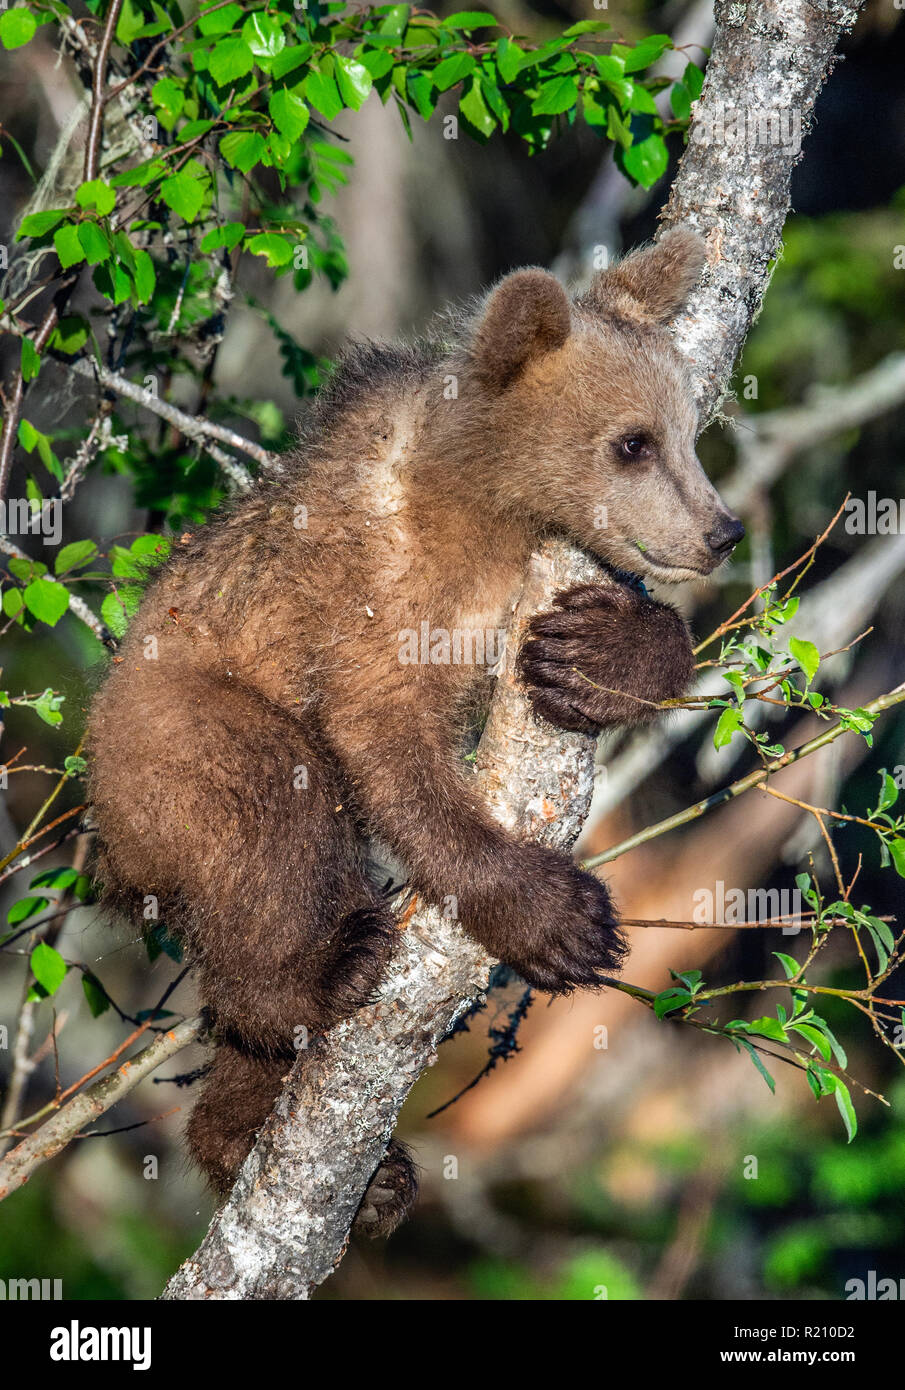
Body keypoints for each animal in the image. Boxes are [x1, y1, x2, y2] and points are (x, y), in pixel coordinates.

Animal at [86, 227, 744, 1233]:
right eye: (630, 442)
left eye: (685, 432)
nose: (721, 531)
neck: (477, 499)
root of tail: (105, 842)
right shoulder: (373, 591)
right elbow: (384, 743)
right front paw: (556, 916)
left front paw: (599, 652)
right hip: (176, 735)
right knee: (271, 819)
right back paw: (318, 979)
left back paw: (277, 1146)